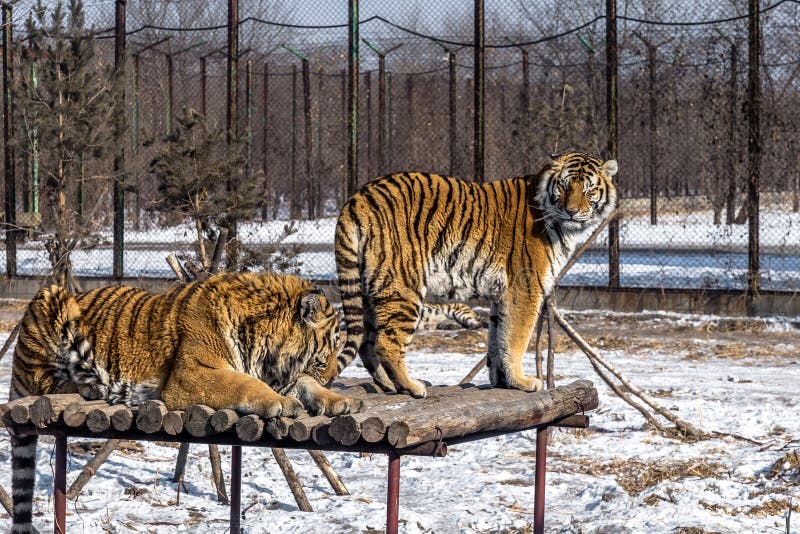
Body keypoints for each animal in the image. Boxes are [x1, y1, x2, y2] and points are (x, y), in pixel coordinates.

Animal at [8, 272, 362, 534]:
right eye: (331, 345)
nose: (334, 375)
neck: (264, 347)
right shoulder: (192, 374)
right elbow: (246, 383)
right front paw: (282, 403)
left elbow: (306, 385)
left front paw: (340, 401)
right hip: (51, 300)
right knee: (48, 384)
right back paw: (91, 386)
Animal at [334, 151, 617, 398]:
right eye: (565, 186)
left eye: (589, 190)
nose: (572, 211)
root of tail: (357, 197)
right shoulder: (526, 288)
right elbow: (517, 338)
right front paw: (522, 381)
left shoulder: (501, 295)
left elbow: (497, 339)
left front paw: (503, 381)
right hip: (402, 286)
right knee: (386, 343)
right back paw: (411, 387)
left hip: (370, 289)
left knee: (367, 343)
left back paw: (388, 385)